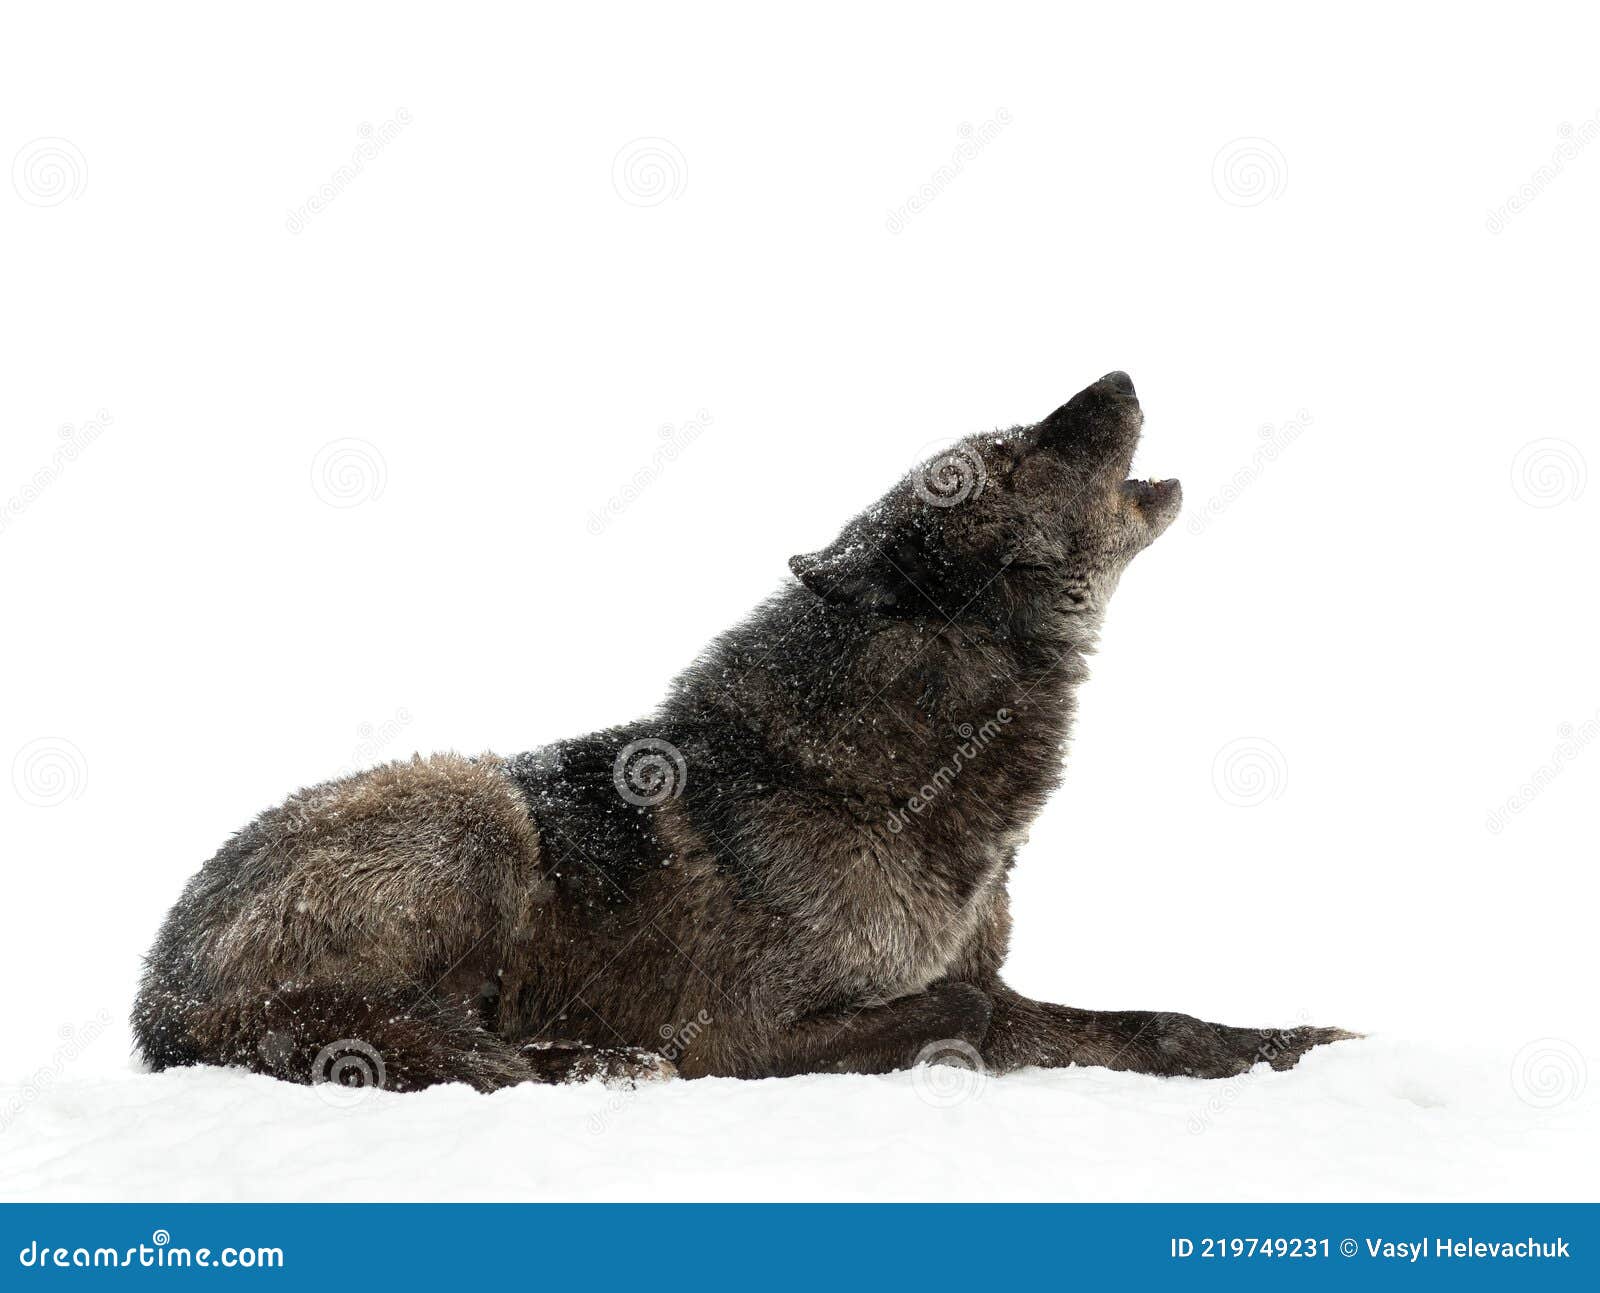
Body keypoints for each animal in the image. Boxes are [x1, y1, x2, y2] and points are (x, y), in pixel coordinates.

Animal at [133, 372, 1353, 1092]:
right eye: (1007, 457)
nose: (1117, 376)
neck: (874, 784)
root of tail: (159, 994)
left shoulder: (996, 980)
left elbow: (1144, 1023)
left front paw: (1298, 1047)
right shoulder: (742, 1033)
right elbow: (961, 1012)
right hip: (471, 814)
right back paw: (586, 1060)